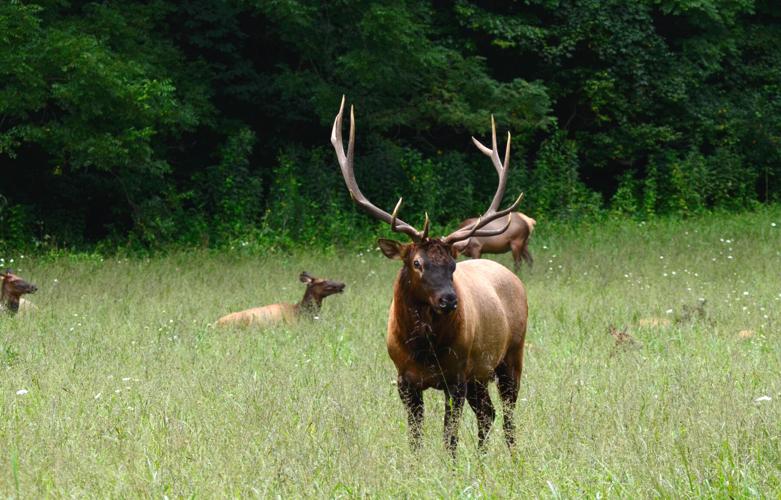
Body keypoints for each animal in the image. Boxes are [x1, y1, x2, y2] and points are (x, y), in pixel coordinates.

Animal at [331, 97, 528, 454]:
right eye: (417, 263)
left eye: (452, 265)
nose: (449, 300)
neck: (424, 350)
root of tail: (512, 275)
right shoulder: (404, 380)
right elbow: (415, 439)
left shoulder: (456, 377)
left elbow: (449, 438)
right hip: (479, 375)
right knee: (488, 413)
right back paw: (481, 459)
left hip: (510, 356)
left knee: (507, 416)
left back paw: (512, 459)